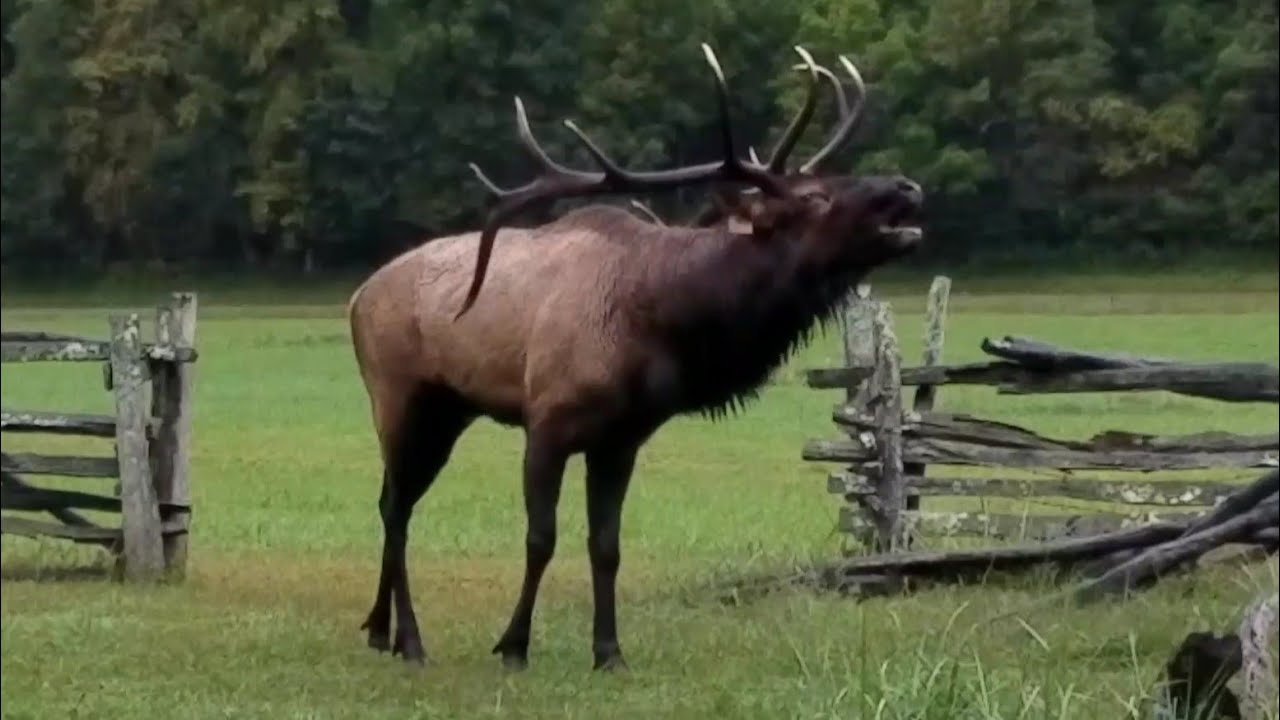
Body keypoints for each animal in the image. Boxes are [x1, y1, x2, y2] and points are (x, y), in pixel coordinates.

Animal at [346, 43, 925, 672]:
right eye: (815, 198)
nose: (906, 187)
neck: (655, 323)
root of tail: (356, 297)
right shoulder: (546, 422)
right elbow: (540, 538)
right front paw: (514, 644)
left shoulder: (621, 439)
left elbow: (606, 546)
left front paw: (608, 651)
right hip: (398, 397)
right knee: (395, 508)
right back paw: (410, 639)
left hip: (448, 412)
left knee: (391, 499)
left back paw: (379, 629)